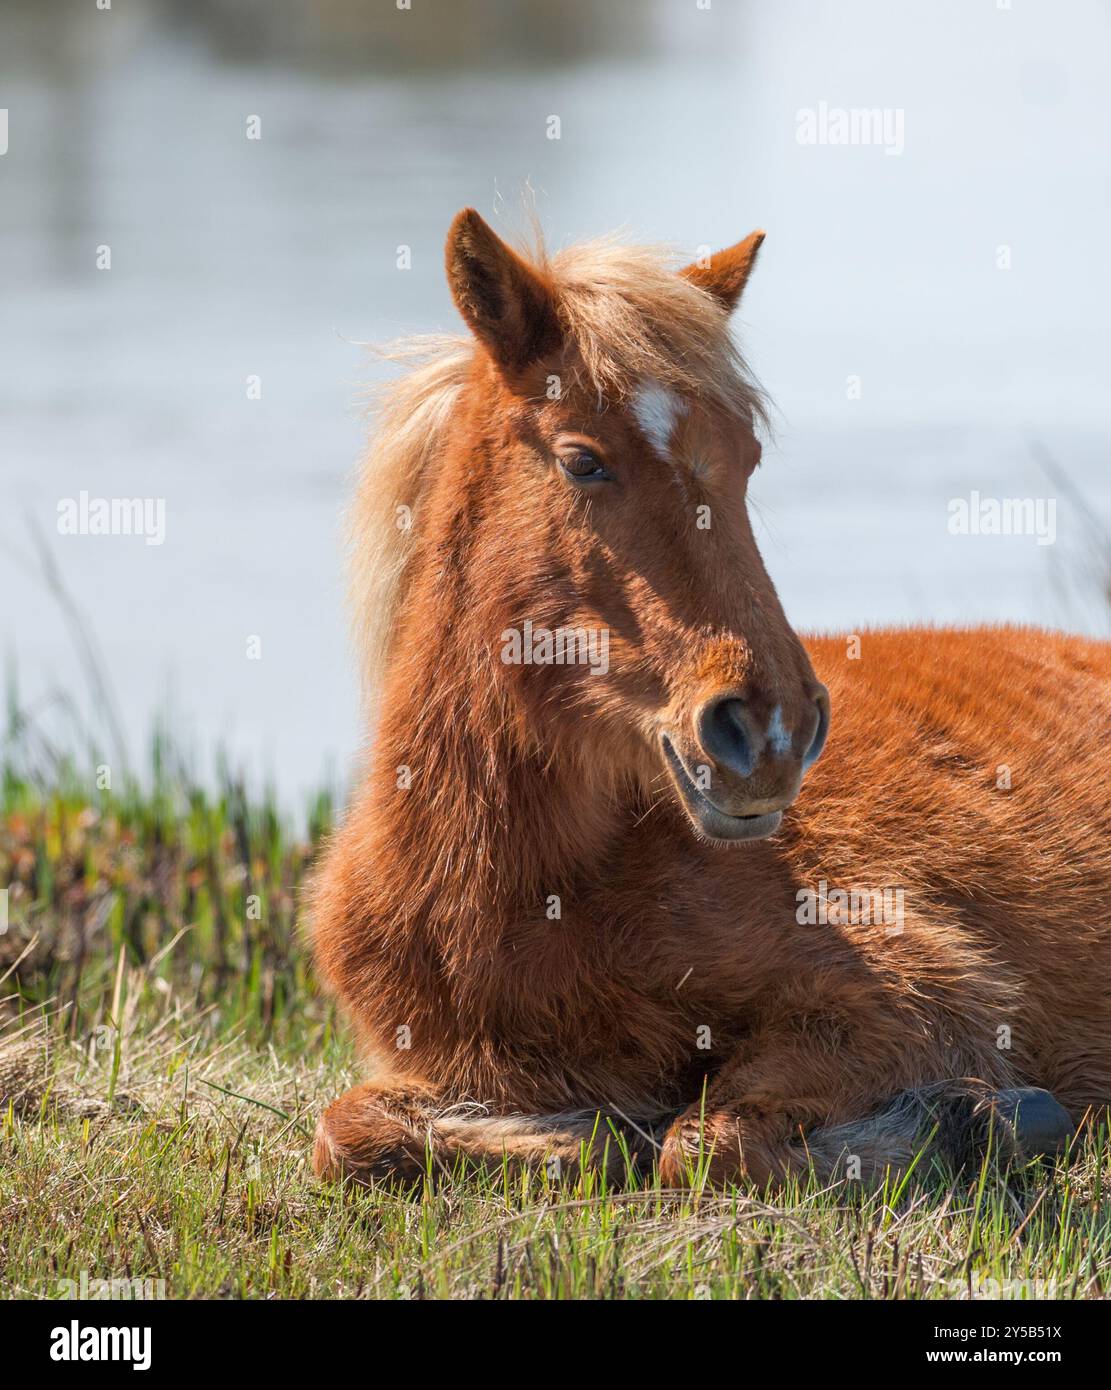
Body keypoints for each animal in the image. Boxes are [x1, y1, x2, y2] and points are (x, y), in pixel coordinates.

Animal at [310, 208, 1111, 1188]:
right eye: (581, 461)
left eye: (746, 460)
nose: (770, 732)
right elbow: (347, 1132)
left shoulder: (914, 998)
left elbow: (700, 1143)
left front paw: (981, 1121)